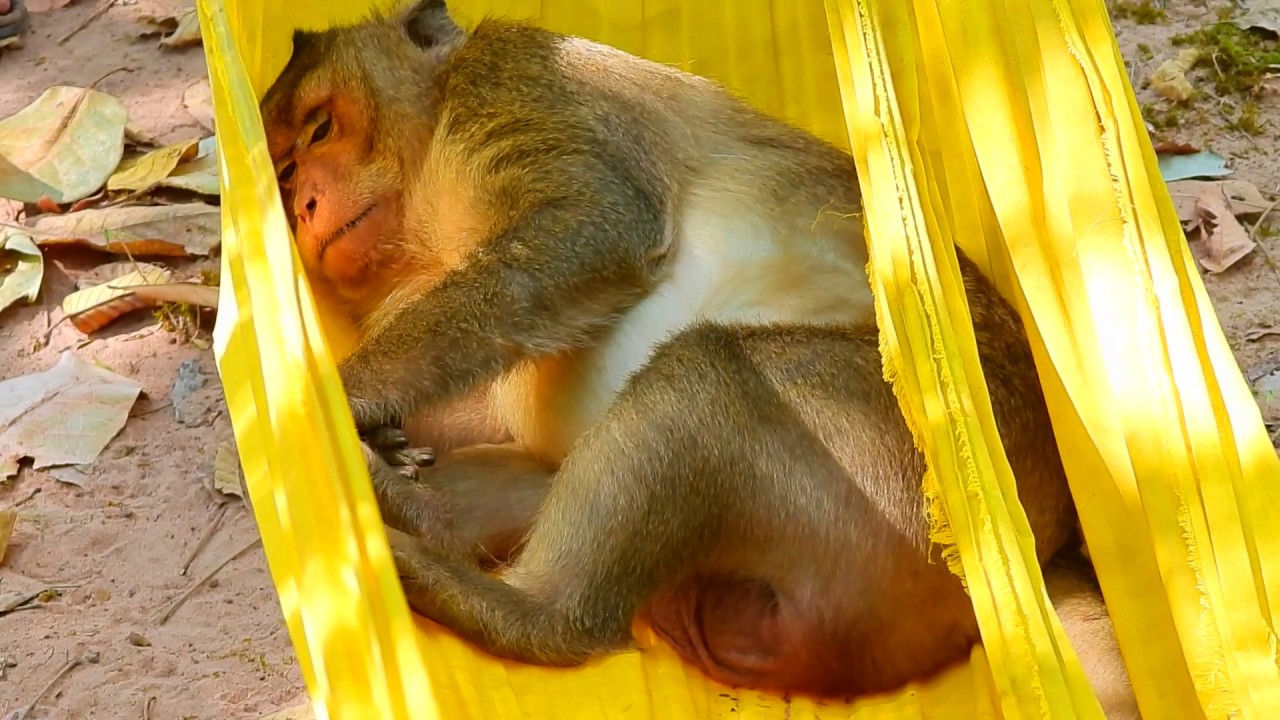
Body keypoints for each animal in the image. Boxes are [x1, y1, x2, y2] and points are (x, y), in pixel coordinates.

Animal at [259, 1, 1140, 716]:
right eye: (283, 169)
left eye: (320, 129)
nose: (302, 206)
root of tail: (1032, 544)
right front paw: (379, 425)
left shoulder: (523, 80)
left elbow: (594, 227)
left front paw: (343, 398)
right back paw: (422, 518)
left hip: (885, 455)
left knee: (704, 375)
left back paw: (523, 606)